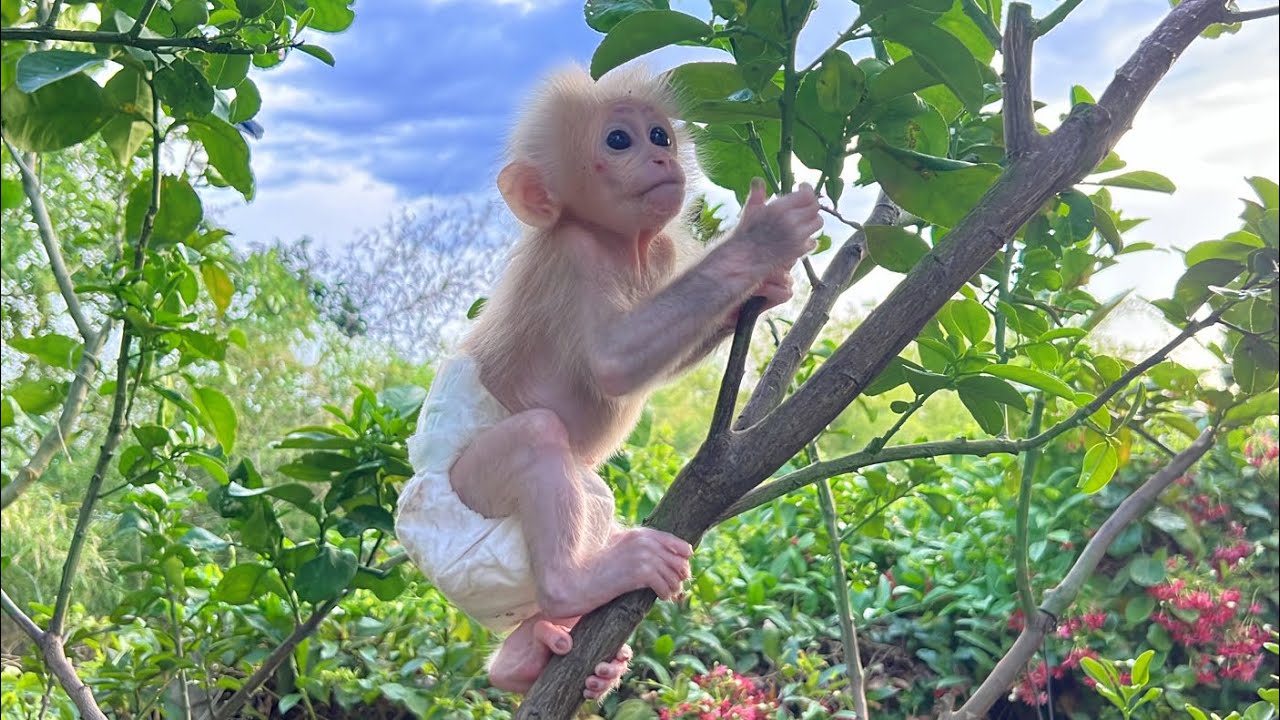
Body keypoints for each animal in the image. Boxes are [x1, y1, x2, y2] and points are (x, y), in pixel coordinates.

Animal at [395, 64, 822, 700]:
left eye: (660, 135)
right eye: (619, 141)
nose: (660, 156)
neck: (626, 244)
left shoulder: (661, 247)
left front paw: (765, 289)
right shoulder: (577, 252)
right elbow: (612, 364)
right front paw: (762, 238)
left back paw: (528, 656)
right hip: (448, 518)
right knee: (538, 437)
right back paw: (573, 588)